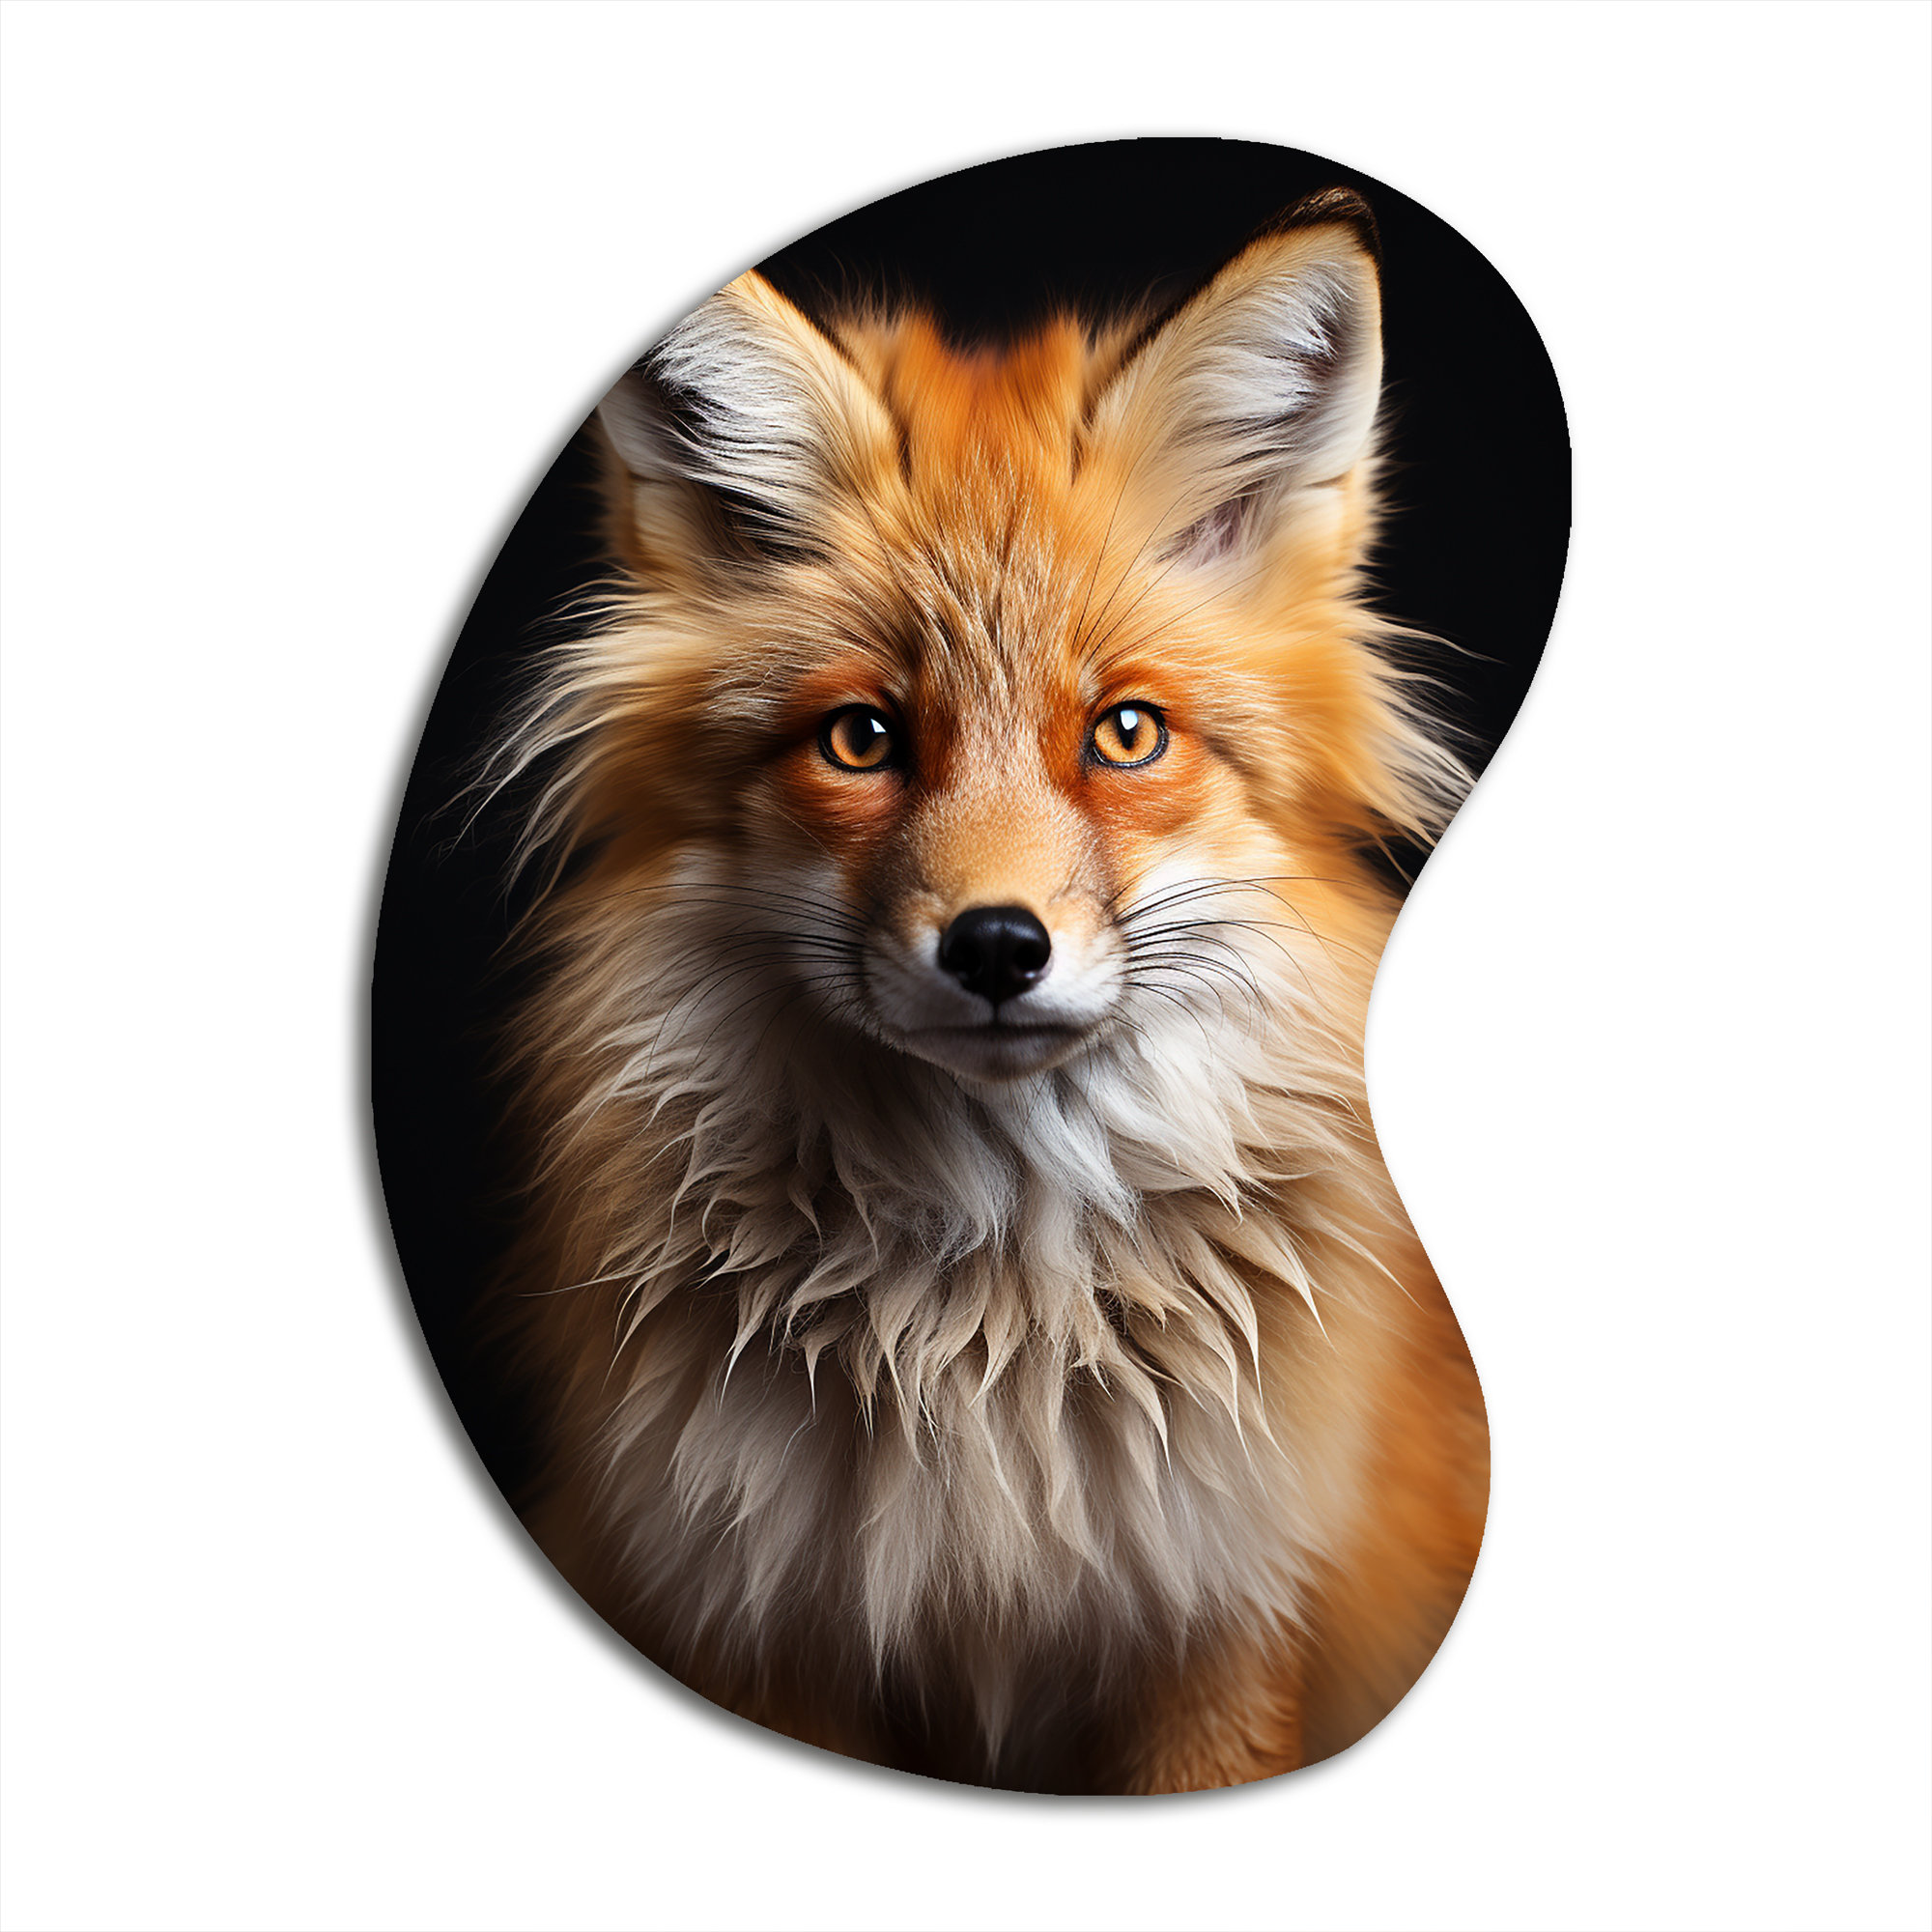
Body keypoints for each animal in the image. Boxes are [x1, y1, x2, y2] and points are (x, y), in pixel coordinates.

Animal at [486, 186, 1489, 1794]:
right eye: (862, 738)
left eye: (1126, 732)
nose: (998, 947)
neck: (990, 1339)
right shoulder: (766, 1626)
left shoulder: (1223, 1625)